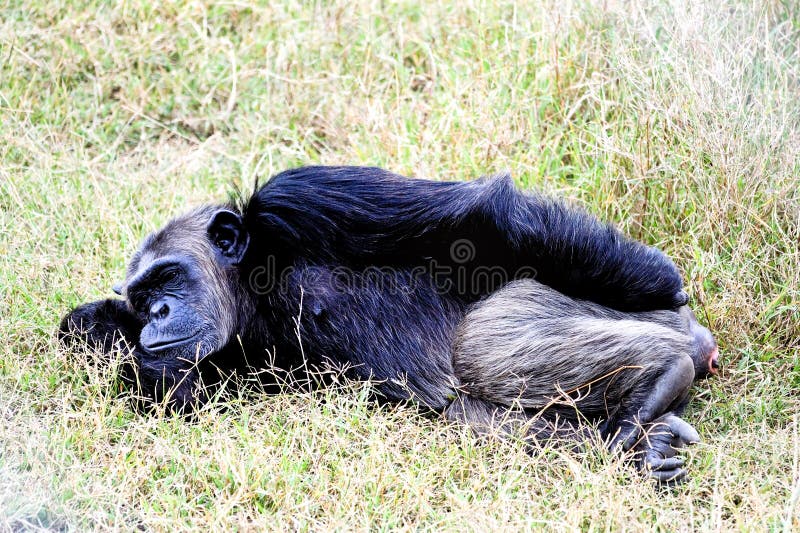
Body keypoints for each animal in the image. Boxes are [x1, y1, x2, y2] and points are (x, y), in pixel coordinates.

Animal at [58, 165, 714, 483]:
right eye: (143, 296)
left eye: (169, 277)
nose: (155, 315)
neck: (253, 287)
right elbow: (184, 400)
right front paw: (105, 332)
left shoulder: (304, 195)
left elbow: (475, 220)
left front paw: (665, 284)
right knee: (471, 414)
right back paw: (644, 444)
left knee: (482, 343)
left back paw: (668, 366)